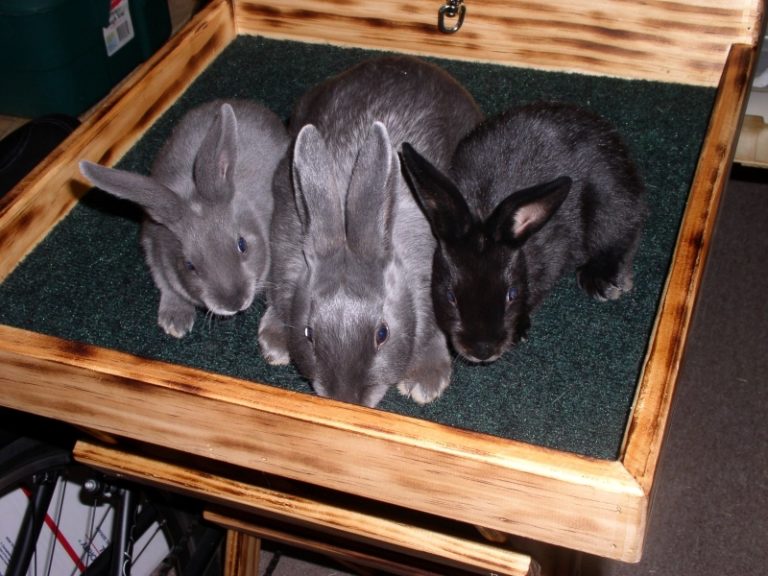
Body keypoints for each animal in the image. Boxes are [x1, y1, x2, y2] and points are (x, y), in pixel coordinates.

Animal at [80, 99, 289, 338]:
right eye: (189, 265)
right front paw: (174, 321)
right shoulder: (154, 251)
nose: (234, 303)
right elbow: (167, 287)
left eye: (242, 245)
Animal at [258, 56, 483, 407]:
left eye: (383, 334)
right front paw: (273, 344)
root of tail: (405, 62)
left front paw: (425, 383)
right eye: (308, 334)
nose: (347, 398)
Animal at [400, 101, 647, 363]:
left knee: (623, 230)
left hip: (609, 201)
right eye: (451, 297)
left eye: (512, 294)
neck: (482, 209)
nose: (482, 351)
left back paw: (603, 281)